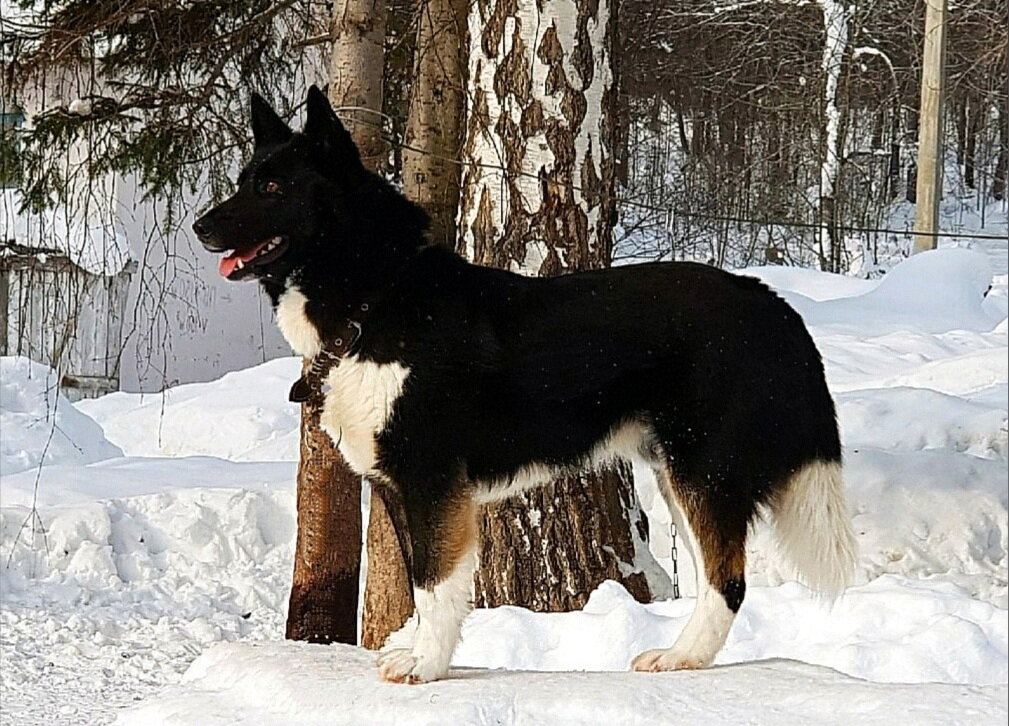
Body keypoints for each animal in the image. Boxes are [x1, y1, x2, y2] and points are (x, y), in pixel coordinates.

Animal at [192, 87, 855, 681]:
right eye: (244, 178)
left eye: (272, 188)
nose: (200, 227)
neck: (376, 300)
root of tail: (769, 302)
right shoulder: (395, 487)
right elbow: (421, 584)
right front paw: (421, 655)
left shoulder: (431, 482)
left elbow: (433, 585)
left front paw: (426, 666)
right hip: (678, 475)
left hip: (704, 472)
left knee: (728, 582)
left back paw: (679, 658)